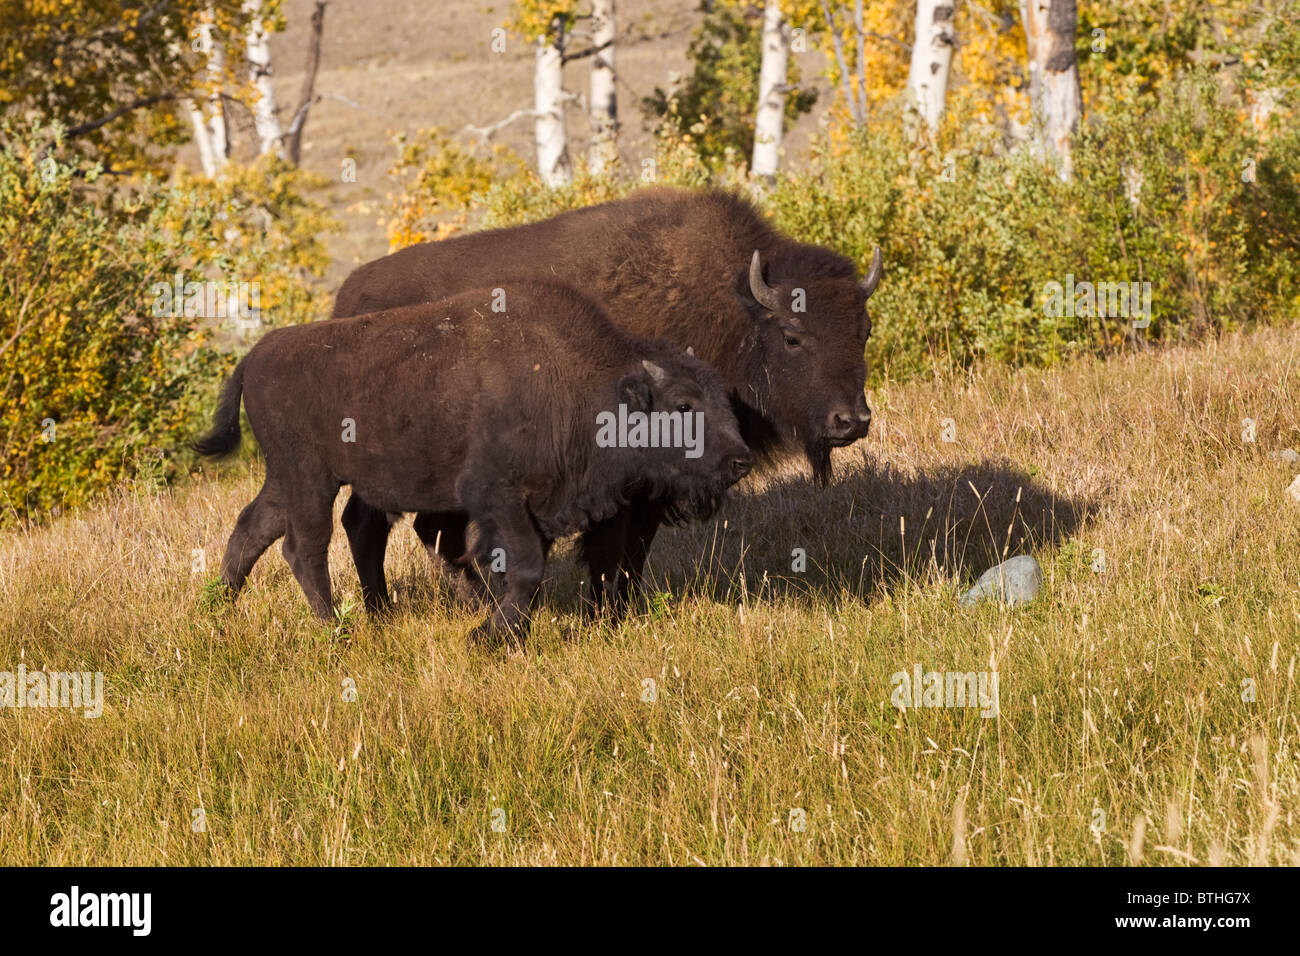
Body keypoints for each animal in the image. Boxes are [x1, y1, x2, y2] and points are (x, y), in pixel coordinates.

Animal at [194, 281, 751, 645]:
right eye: (683, 404)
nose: (740, 460)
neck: (579, 381)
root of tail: (255, 357)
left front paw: (498, 624)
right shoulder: (495, 495)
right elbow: (525, 565)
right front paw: (491, 636)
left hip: (286, 480)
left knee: (253, 530)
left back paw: (218, 611)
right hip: (311, 478)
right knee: (304, 548)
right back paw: (337, 631)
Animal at [333, 187, 882, 613]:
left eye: (865, 331)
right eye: (793, 336)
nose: (851, 421)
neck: (729, 308)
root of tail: (347, 300)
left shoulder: (652, 490)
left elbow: (634, 552)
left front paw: (623, 611)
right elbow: (607, 549)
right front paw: (601, 615)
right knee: (371, 524)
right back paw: (385, 611)